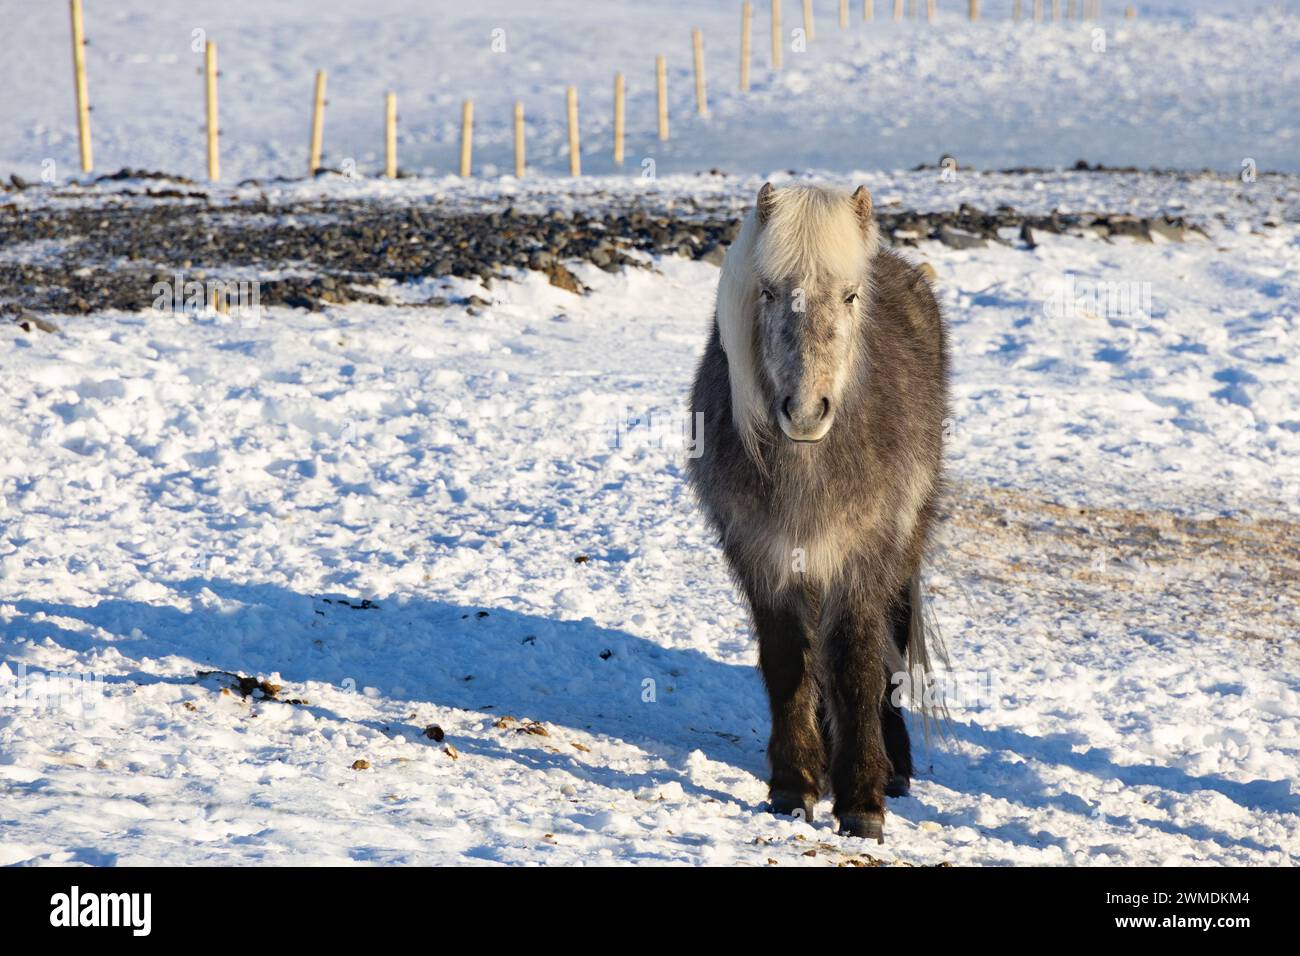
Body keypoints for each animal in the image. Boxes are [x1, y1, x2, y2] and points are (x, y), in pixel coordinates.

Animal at [688, 182, 949, 842]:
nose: (805, 412)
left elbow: (856, 663)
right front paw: (795, 786)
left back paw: (894, 767)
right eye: (769, 292)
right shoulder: (765, 556)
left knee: (886, 645)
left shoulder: (861, 560)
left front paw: (862, 803)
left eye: (850, 296)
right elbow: (788, 662)